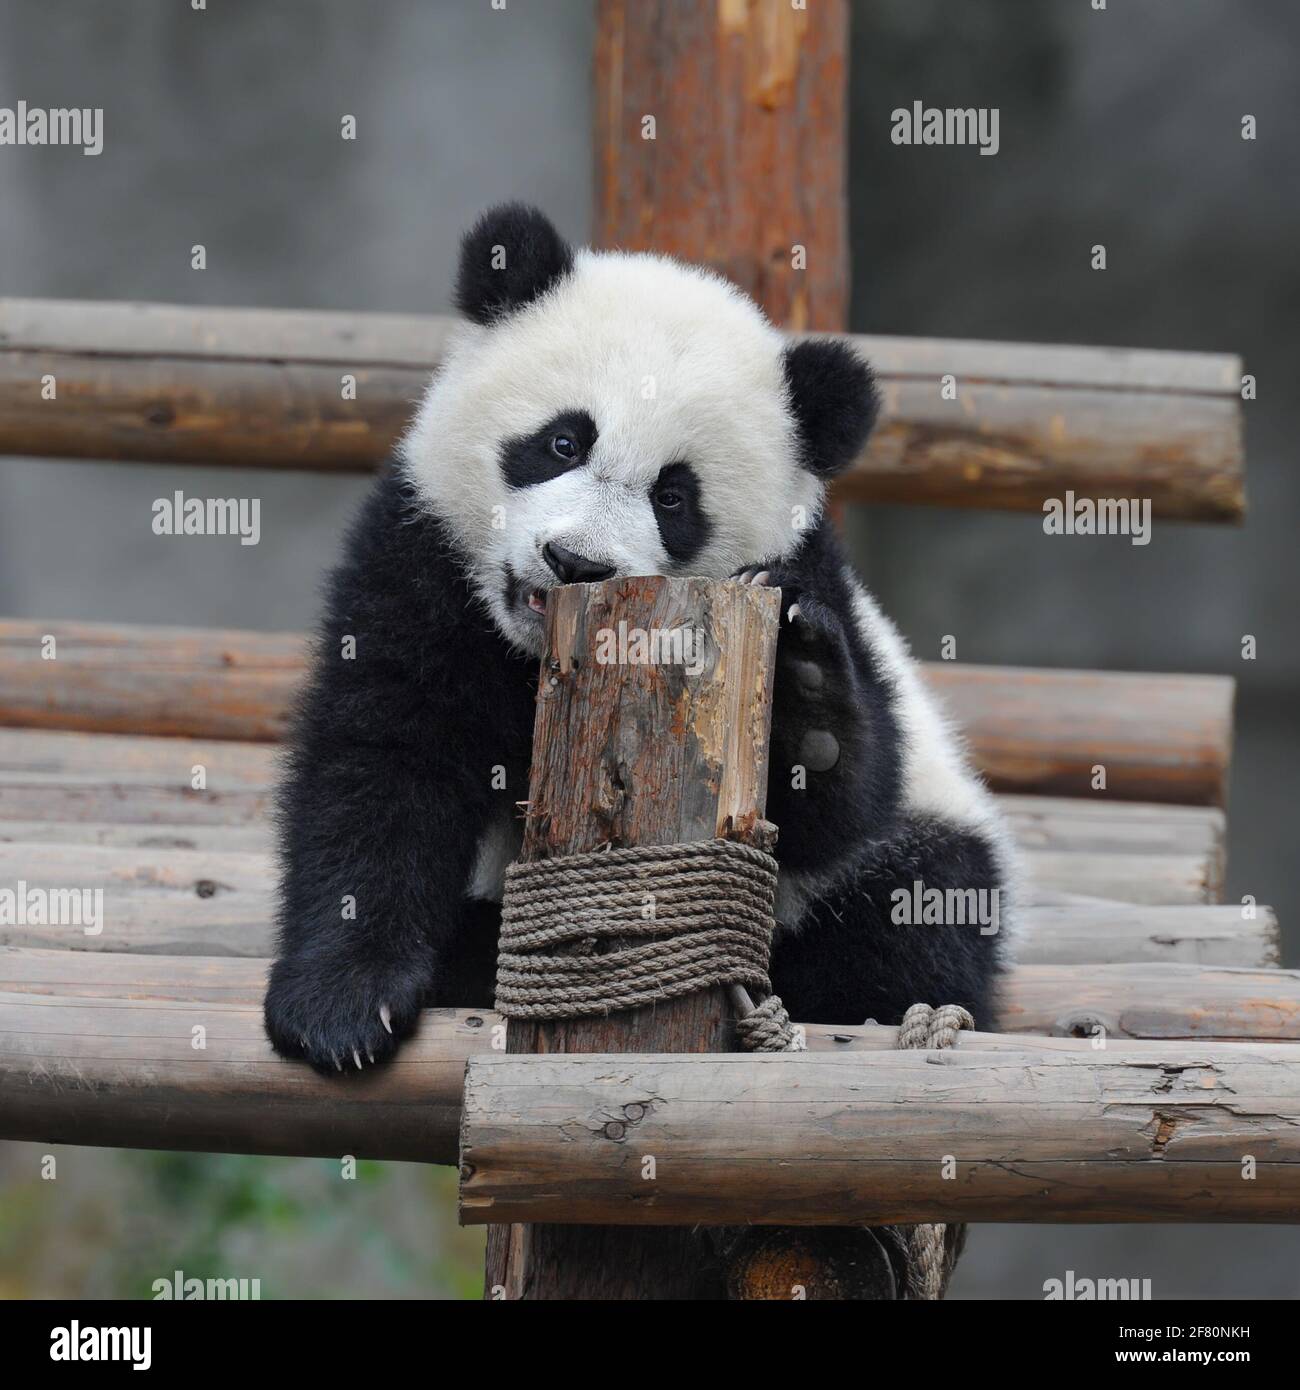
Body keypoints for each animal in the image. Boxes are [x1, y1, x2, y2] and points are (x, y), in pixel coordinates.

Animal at [264, 203, 1017, 1075]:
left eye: (674, 496)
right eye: (564, 441)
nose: (575, 563)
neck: (530, 654)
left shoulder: (807, 575)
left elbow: (843, 806)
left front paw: (807, 696)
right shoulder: (419, 554)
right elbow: (380, 760)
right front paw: (342, 1008)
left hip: (934, 836)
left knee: (915, 910)